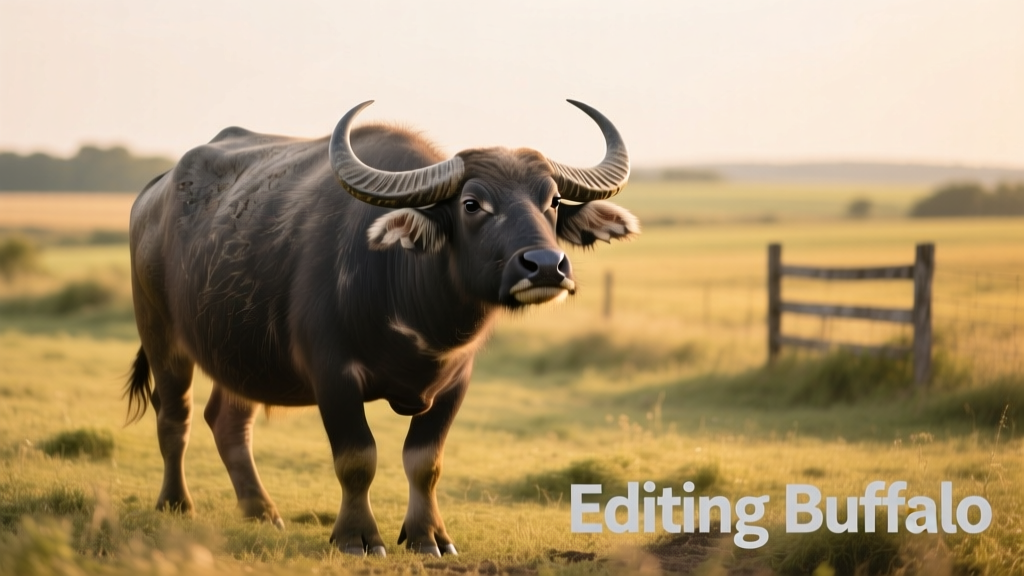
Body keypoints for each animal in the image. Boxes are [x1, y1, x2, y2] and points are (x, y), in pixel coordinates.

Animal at [125, 100, 639, 556]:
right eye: (472, 204)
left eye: (551, 200)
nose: (546, 266)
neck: (416, 309)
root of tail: (153, 194)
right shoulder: (333, 376)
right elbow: (357, 458)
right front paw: (357, 538)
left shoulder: (456, 382)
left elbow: (425, 463)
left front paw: (428, 537)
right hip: (160, 333)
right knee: (175, 417)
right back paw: (176, 503)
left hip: (240, 352)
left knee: (228, 421)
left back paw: (262, 511)